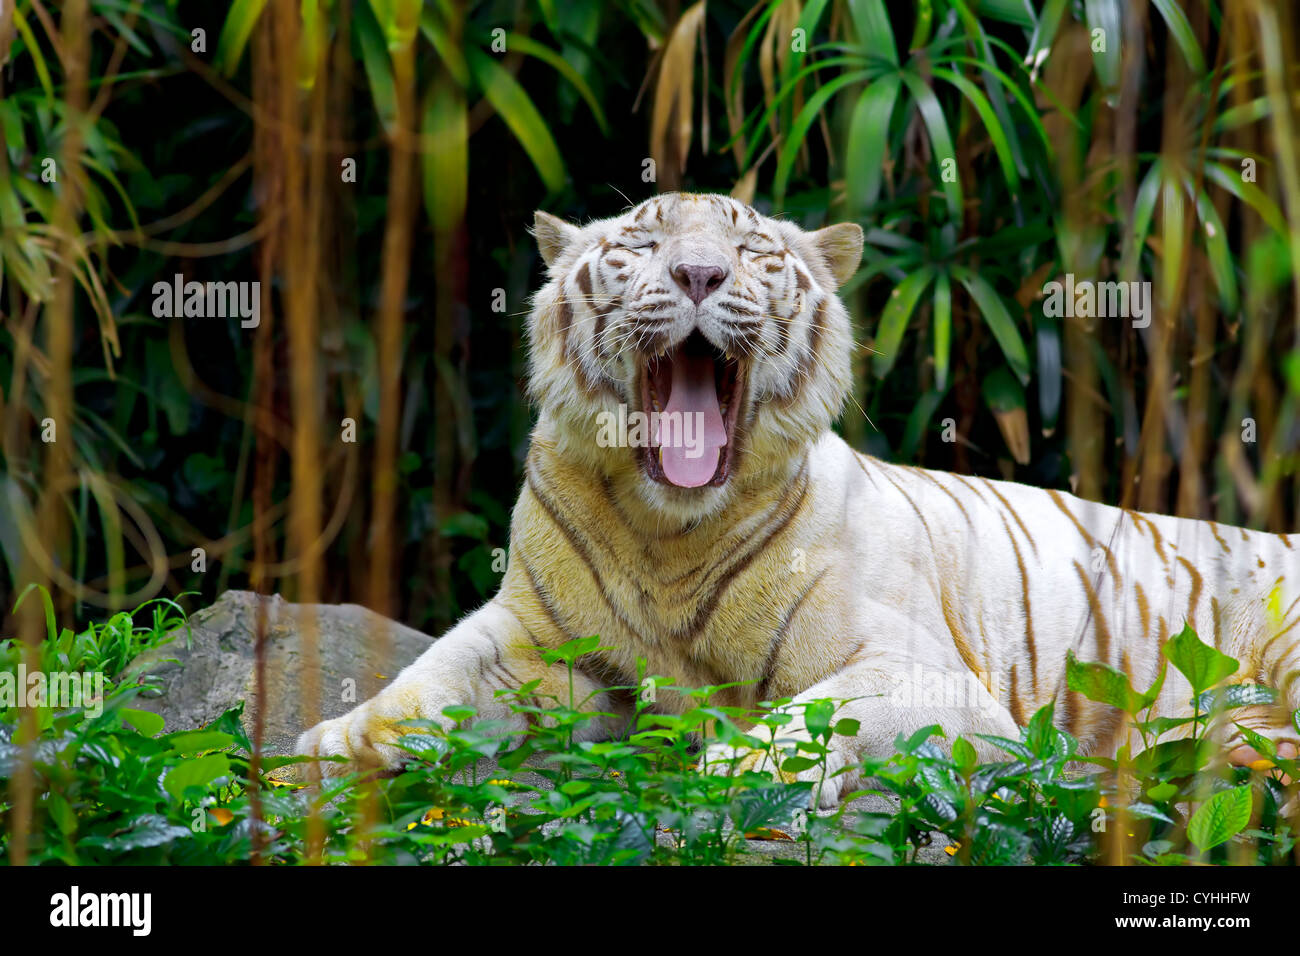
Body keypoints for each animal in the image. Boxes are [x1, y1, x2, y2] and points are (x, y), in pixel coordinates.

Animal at [297, 191, 1300, 807]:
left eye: (749, 251)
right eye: (644, 246)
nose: (699, 276)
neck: (668, 532)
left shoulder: (935, 677)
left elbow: (821, 713)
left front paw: (736, 767)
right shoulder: (536, 638)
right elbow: (432, 677)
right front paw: (336, 744)